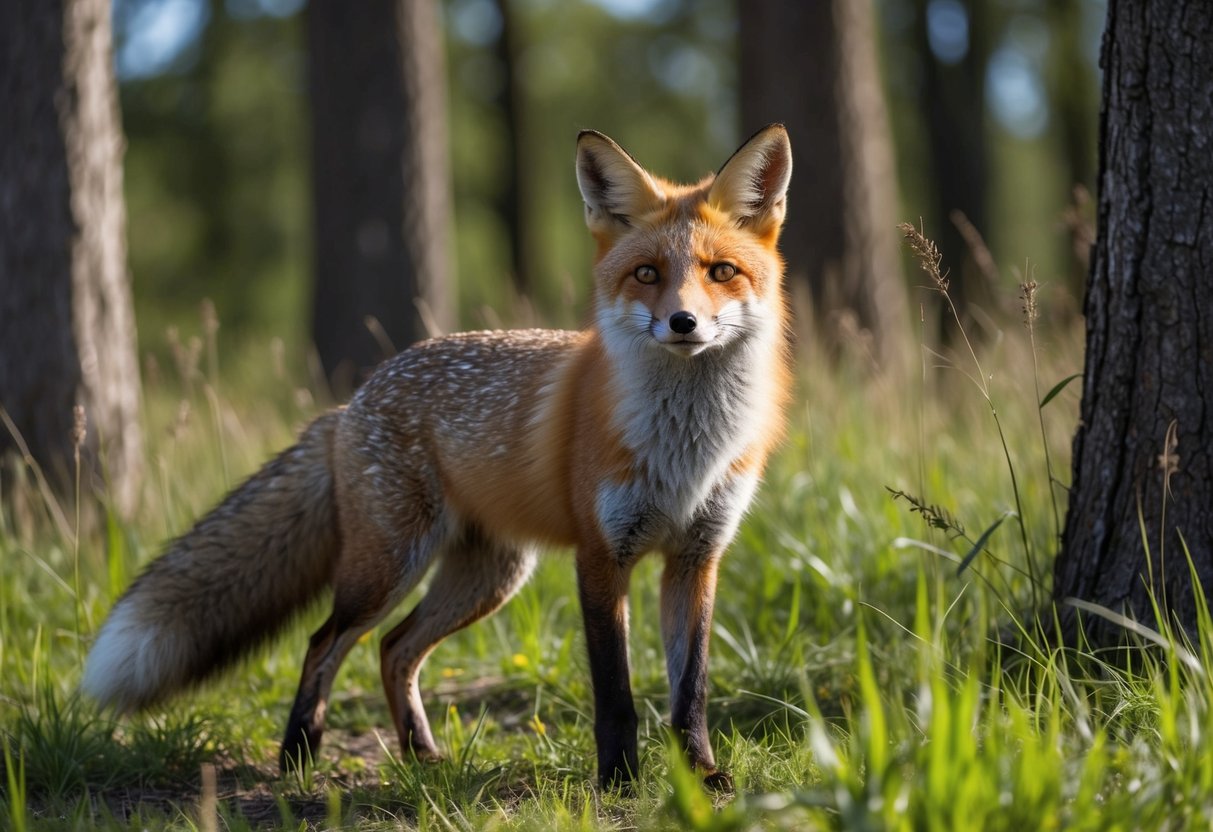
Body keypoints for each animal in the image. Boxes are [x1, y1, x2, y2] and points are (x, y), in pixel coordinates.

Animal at [83, 124, 793, 790]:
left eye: (721, 272)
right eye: (647, 274)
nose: (683, 323)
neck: (686, 450)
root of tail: (350, 402)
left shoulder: (697, 557)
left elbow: (690, 690)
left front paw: (701, 774)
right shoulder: (600, 556)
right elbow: (615, 693)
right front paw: (619, 780)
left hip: (486, 577)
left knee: (394, 648)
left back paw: (420, 753)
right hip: (390, 567)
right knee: (324, 642)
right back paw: (298, 754)